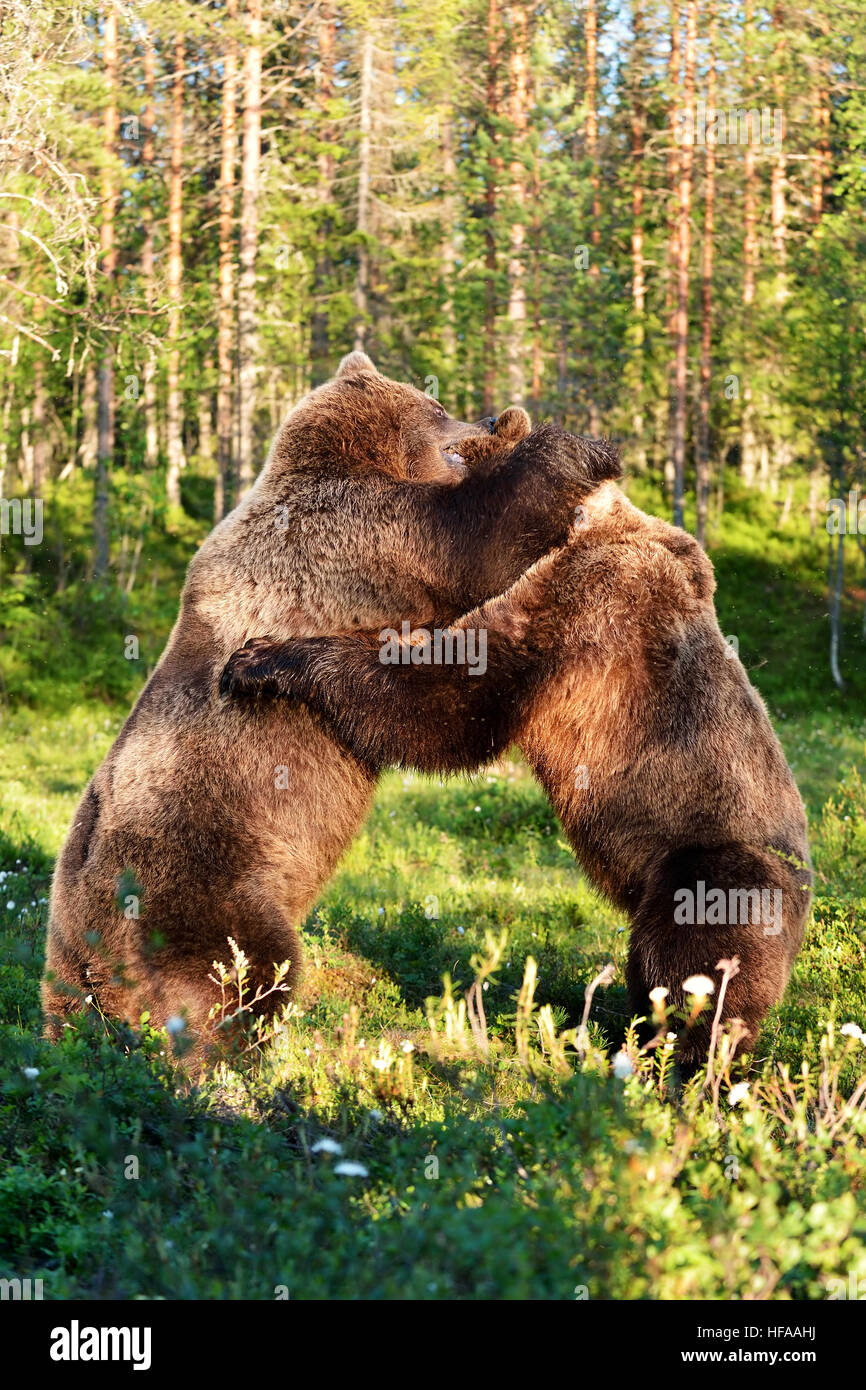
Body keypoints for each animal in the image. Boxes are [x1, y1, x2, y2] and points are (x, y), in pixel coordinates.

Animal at [43, 352, 620, 1060]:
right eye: (437, 409)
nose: (487, 418)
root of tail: (93, 958)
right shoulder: (357, 539)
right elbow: (472, 543)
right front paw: (580, 446)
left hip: (68, 959)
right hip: (201, 879)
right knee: (240, 970)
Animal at [220, 476, 813, 1069]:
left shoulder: (588, 601)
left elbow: (462, 685)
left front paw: (262, 659)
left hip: (713, 868)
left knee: (690, 967)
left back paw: (677, 1060)